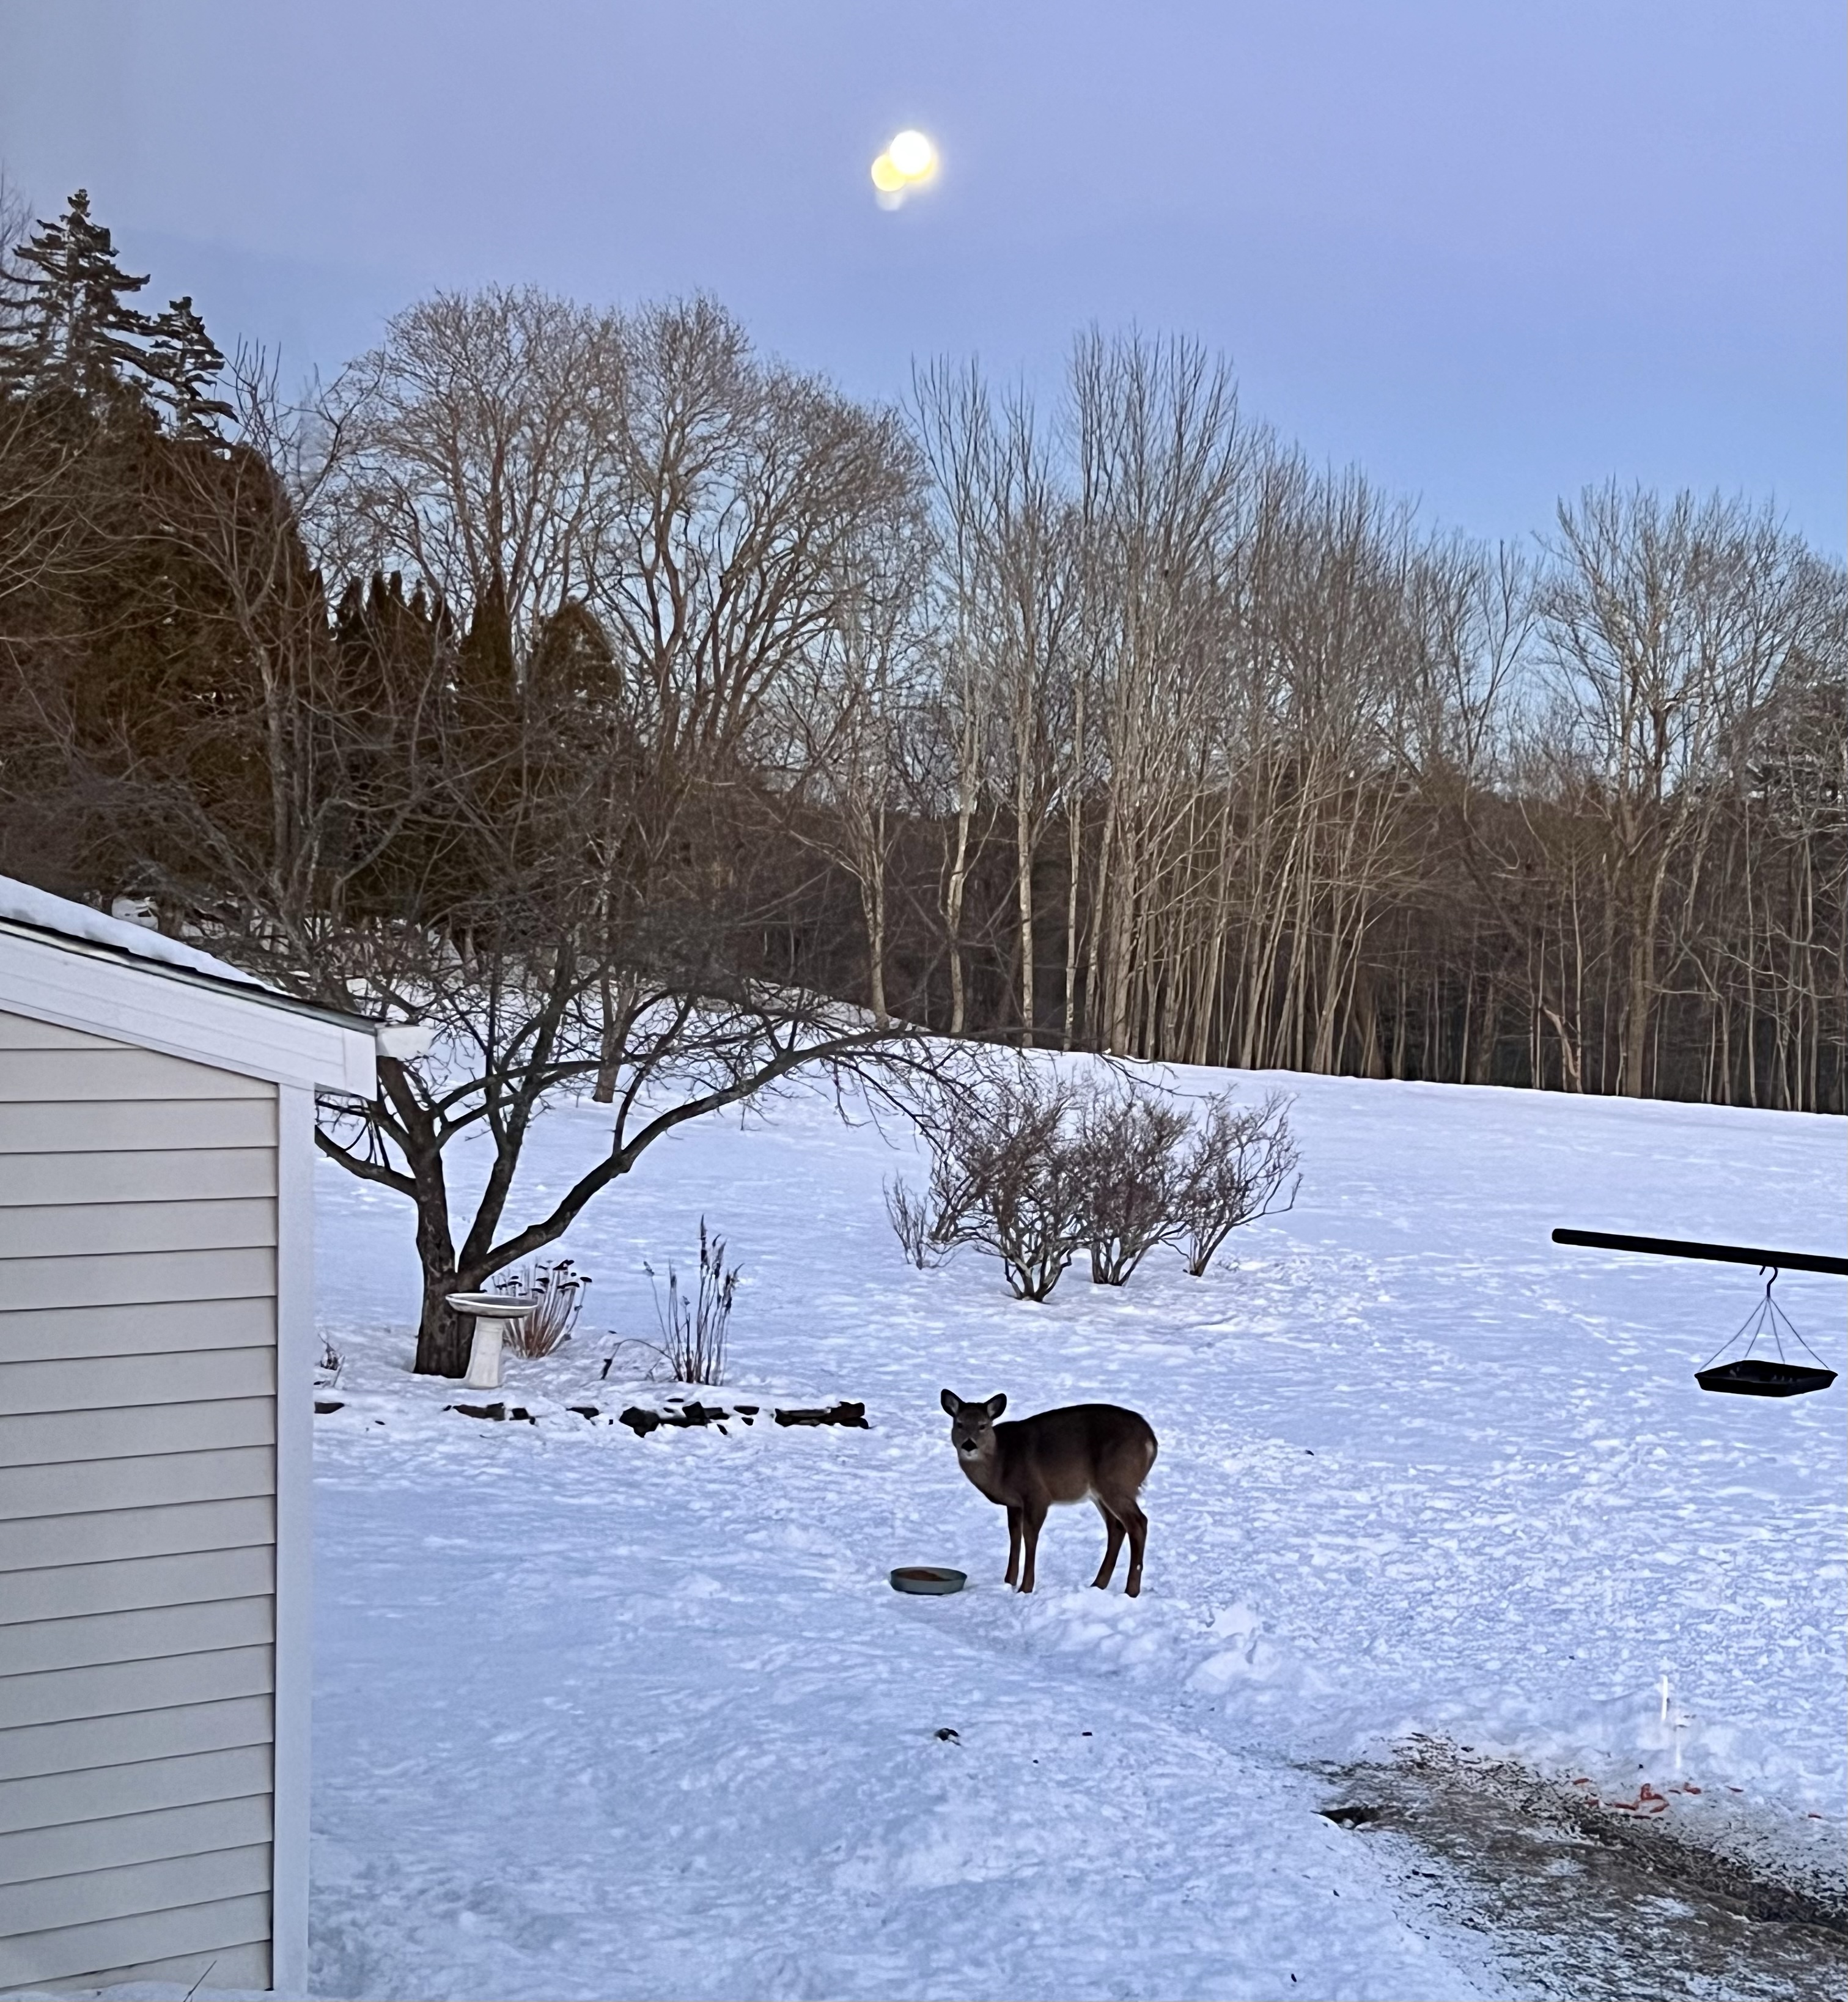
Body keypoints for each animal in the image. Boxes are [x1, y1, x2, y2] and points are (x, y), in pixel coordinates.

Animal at [939, 1390, 1158, 1596]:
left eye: (983, 1425)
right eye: (959, 1424)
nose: (969, 1445)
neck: (1001, 1462)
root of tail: (1151, 1440)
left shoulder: (1037, 1494)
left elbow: (1030, 1537)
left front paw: (1025, 1588)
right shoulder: (1014, 1502)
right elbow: (1014, 1537)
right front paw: (1009, 1583)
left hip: (1117, 1482)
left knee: (1138, 1523)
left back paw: (1131, 1591)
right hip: (1101, 1491)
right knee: (1117, 1526)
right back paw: (1098, 1584)